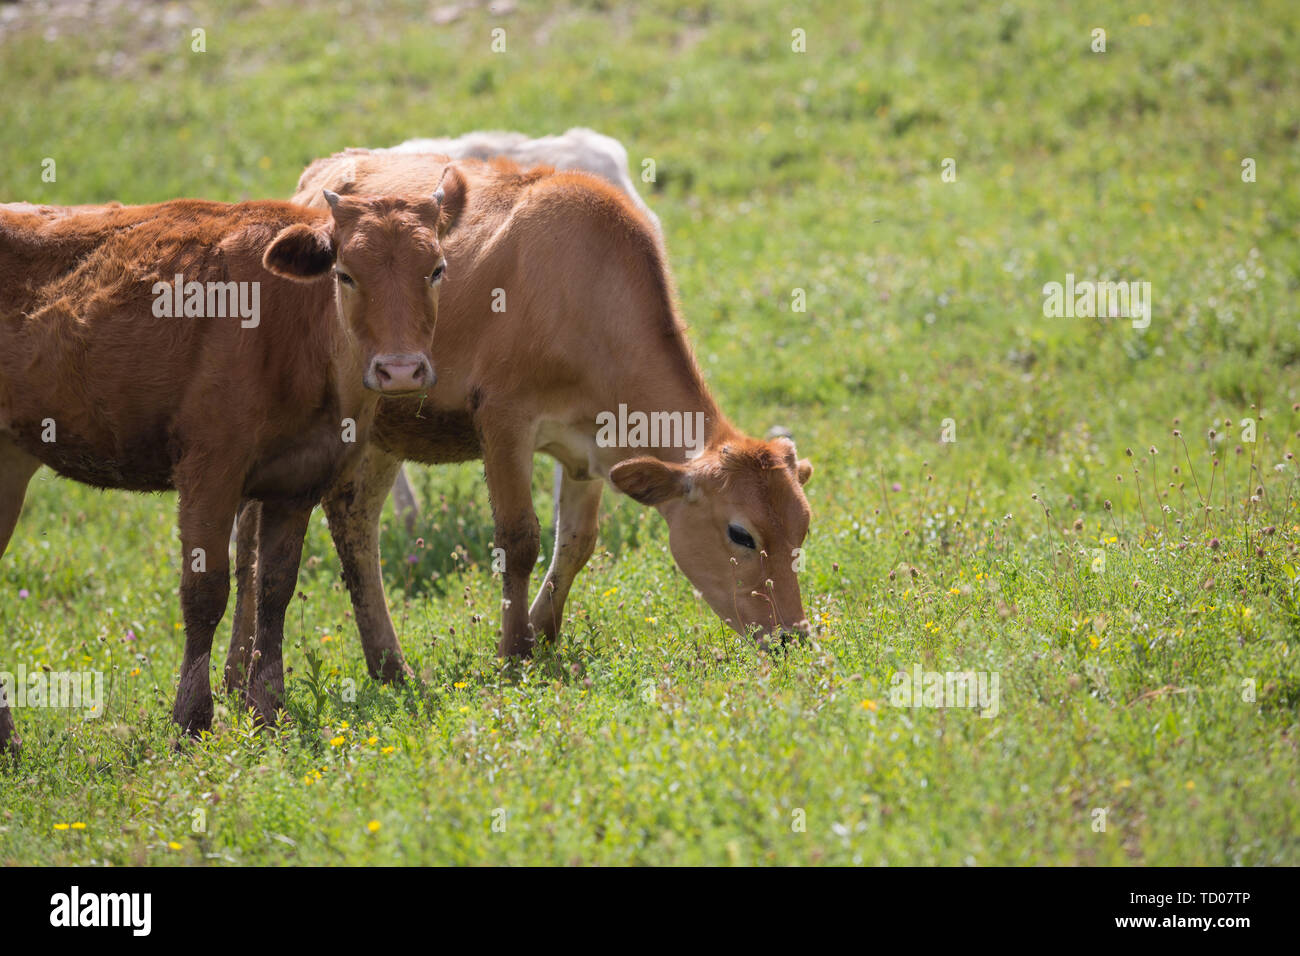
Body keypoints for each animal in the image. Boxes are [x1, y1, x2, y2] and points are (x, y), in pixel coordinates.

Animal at [0, 175, 467, 753]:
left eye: (436, 268)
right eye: (345, 273)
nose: (399, 370)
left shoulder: (299, 481)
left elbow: (273, 589)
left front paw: (268, 709)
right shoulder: (209, 470)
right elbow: (206, 592)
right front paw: (191, 720)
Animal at [224, 151, 812, 692]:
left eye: (803, 528)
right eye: (741, 534)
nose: (793, 637)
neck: (584, 298)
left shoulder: (590, 449)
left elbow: (576, 542)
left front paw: (542, 632)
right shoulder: (504, 420)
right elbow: (520, 540)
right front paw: (514, 652)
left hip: (381, 431)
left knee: (353, 523)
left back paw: (387, 667)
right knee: (252, 538)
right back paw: (240, 676)